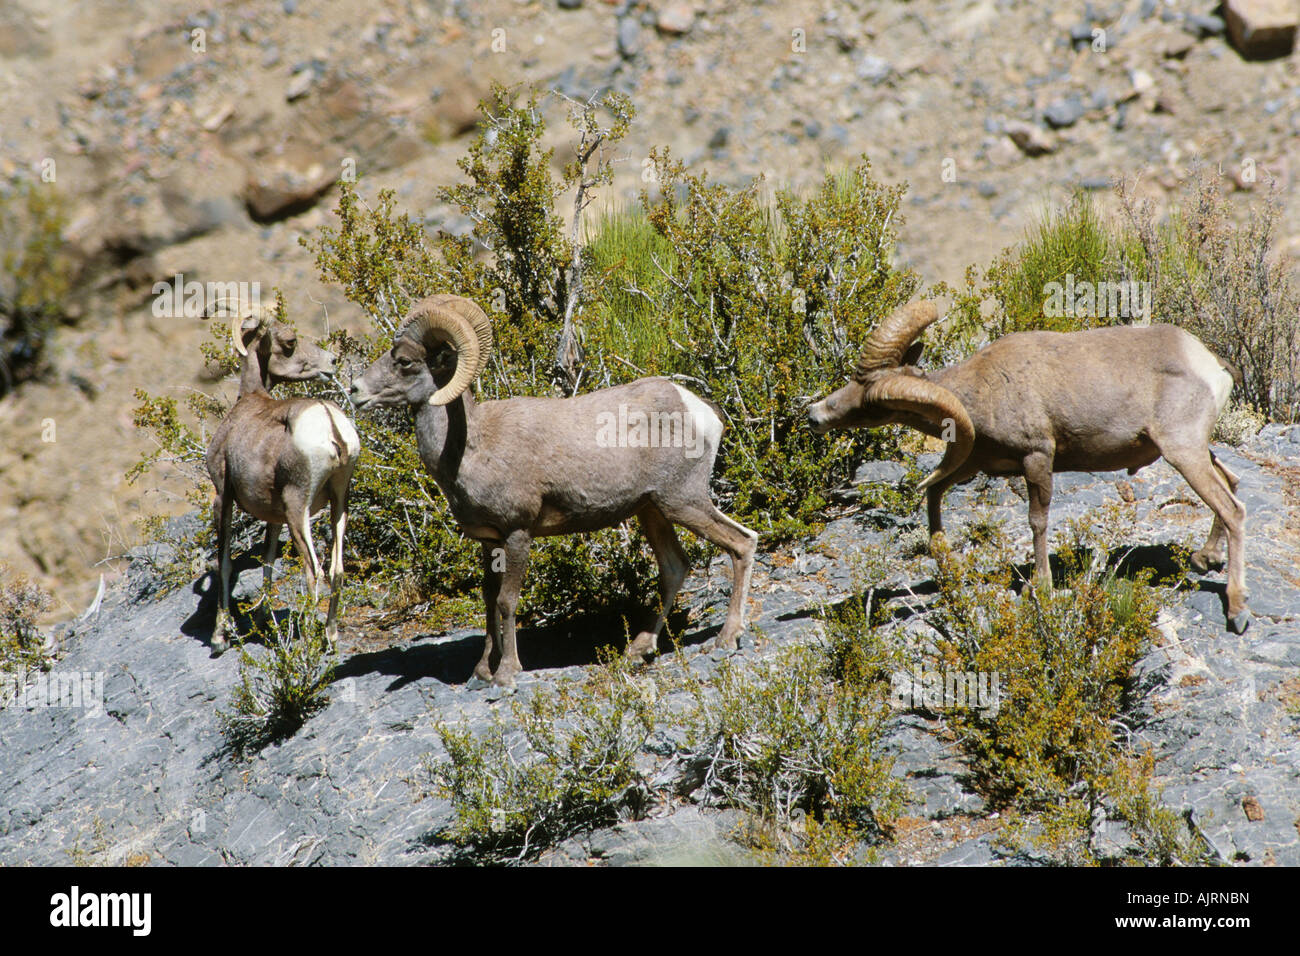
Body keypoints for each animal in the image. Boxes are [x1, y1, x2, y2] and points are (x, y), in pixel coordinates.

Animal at [205, 304, 361, 655]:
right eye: (291, 341)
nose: (331, 362)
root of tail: (330, 423)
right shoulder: (273, 516)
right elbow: (267, 562)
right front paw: (263, 619)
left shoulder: (223, 496)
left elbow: (224, 563)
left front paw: (219, 637)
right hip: (339, 502)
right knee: (337, 569)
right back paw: (330, 638)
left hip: (297, 507)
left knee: (314, 570)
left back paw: (306, 646)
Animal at [348, 294, 758, 689]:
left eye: (403, 361)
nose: (355, 391)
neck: (469, 447)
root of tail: (701, 410)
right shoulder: (488, 542)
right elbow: (487, 602)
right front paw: (480, 675)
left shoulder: (518, 534)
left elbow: (507, 602)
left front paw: (506, 676)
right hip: (652, 511)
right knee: (675, 567)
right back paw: (637, 652)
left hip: (683, 503)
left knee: (742, 543)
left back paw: (726, 639)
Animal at [807, 301, 1250, 633]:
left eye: (872, 406)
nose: (814, 415)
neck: (983, 388)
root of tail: (1212, 365)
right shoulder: (974, 462)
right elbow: (933, 491)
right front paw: (945, 561)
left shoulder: (1037, 459)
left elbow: (1037, 521)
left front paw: (1043, 588)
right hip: (1194, 452)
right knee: (1230, 483)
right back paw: (1205, 559)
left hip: (1182, 452)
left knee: (1232, 509)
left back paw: (1237, 611)